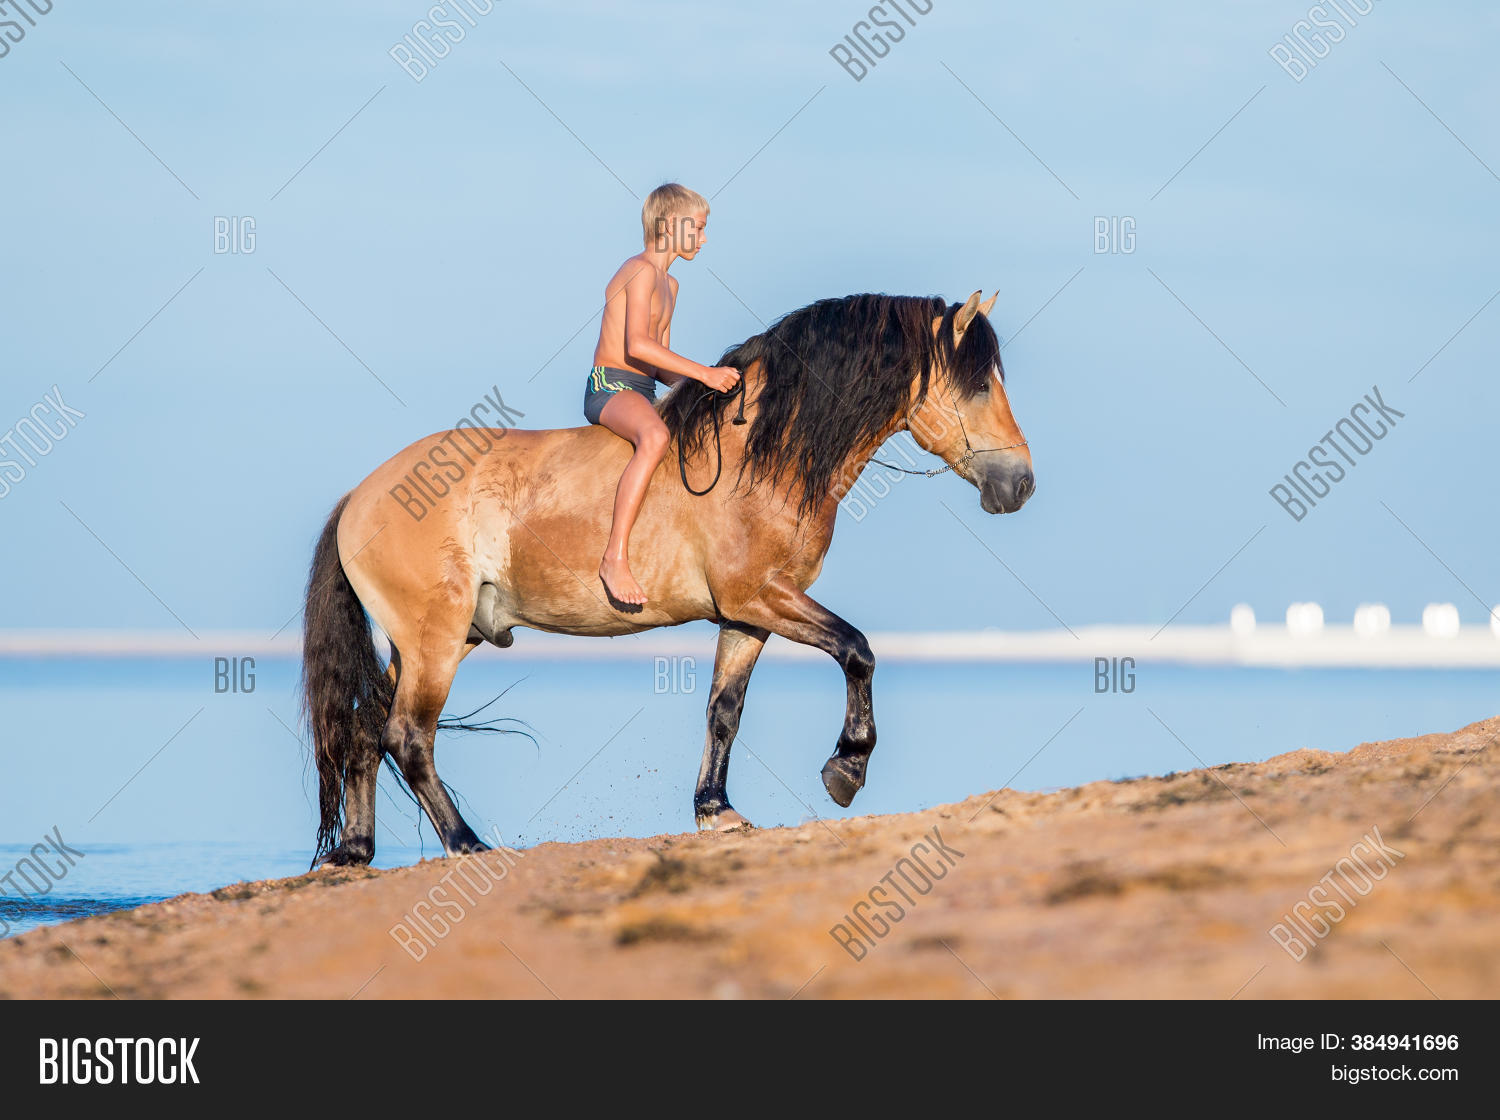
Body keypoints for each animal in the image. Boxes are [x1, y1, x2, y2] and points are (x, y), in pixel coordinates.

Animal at [302, 289, 1034, 866]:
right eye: (978, 384)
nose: (1020, 483)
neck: (758, 456)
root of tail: (361, 497)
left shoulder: (744, 616)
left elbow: (724, 709)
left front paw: (715, 809)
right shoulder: (764, 596)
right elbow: (858, 650)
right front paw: (847, 765)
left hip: (432, 642)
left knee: (366, 728)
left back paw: (357, 850)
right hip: (435, 642)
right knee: (408, 736)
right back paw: (465, 842)